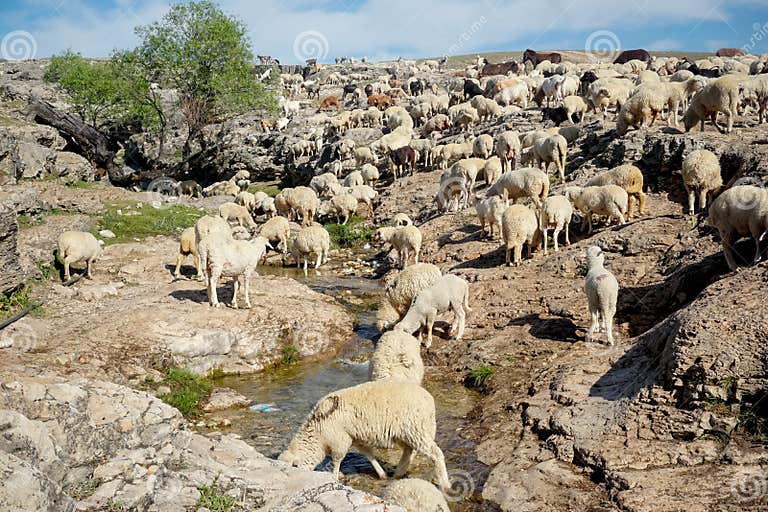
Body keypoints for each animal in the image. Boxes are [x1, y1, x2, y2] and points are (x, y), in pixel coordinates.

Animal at [278, 379, 451, 491]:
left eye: (294, 467)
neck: (318, 434)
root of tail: (429, 399)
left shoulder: (340, 439)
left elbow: (337, 459)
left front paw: (334, 475)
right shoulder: (356, 438)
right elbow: (369, 454)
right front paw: (381, 474)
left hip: (416, 429)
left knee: (436, 453)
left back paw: (444, 483)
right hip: (406, 433)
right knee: (409, 451)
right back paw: (398, 473)